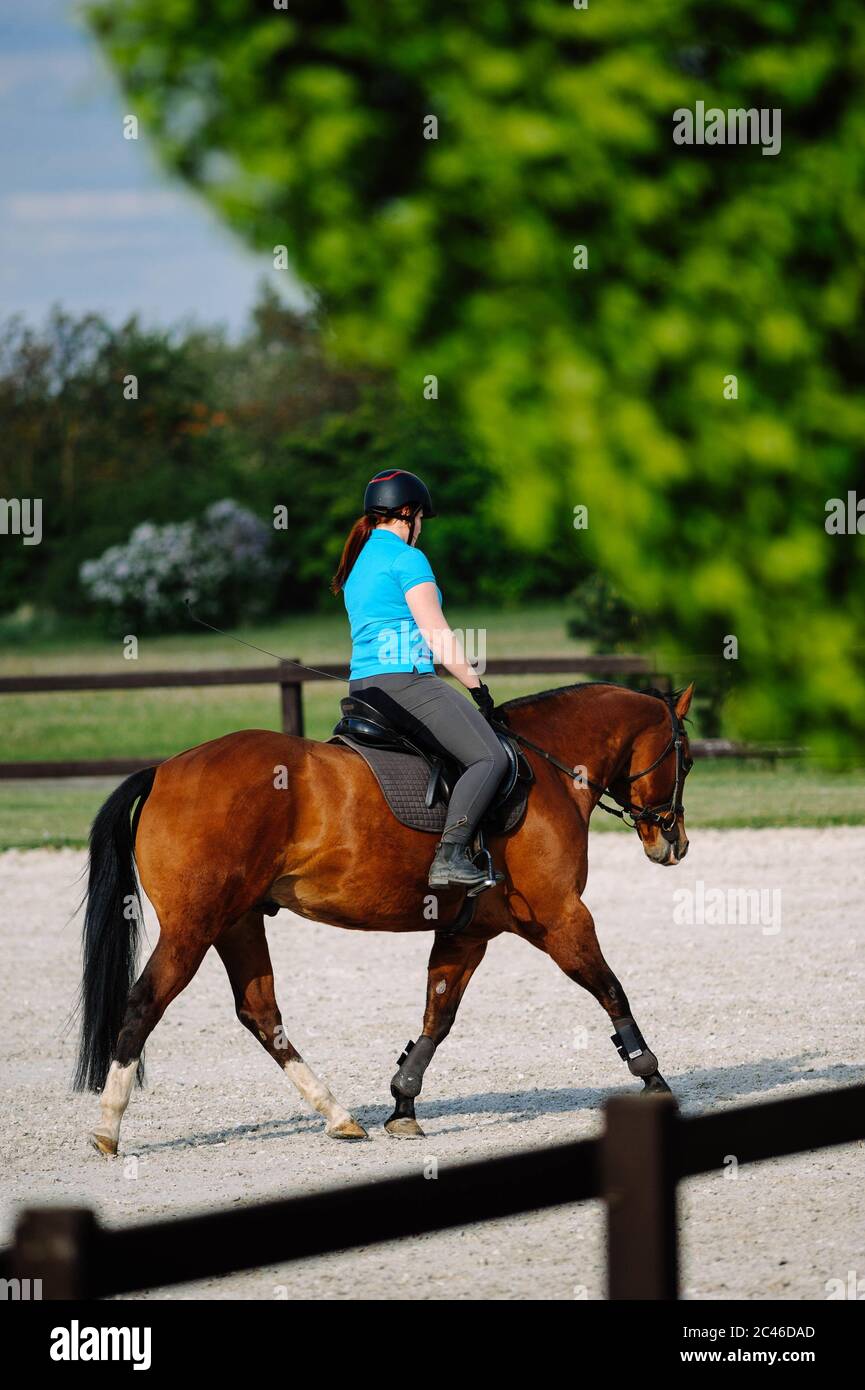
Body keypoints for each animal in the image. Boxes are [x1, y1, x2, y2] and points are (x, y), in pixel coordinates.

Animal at [74, 679, 694, 1154]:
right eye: (685, 759)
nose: (674, 842)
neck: (547, 768)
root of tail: (163, 770)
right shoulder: (562, 917)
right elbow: (611, 990)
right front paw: (652, 1076)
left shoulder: (469, 932)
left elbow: (437, 1018)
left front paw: (403, 1102)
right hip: (194, 927)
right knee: (144, 1004)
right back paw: (108, 1127)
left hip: (238, 922)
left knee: (261, 1015)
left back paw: (338, 1115)